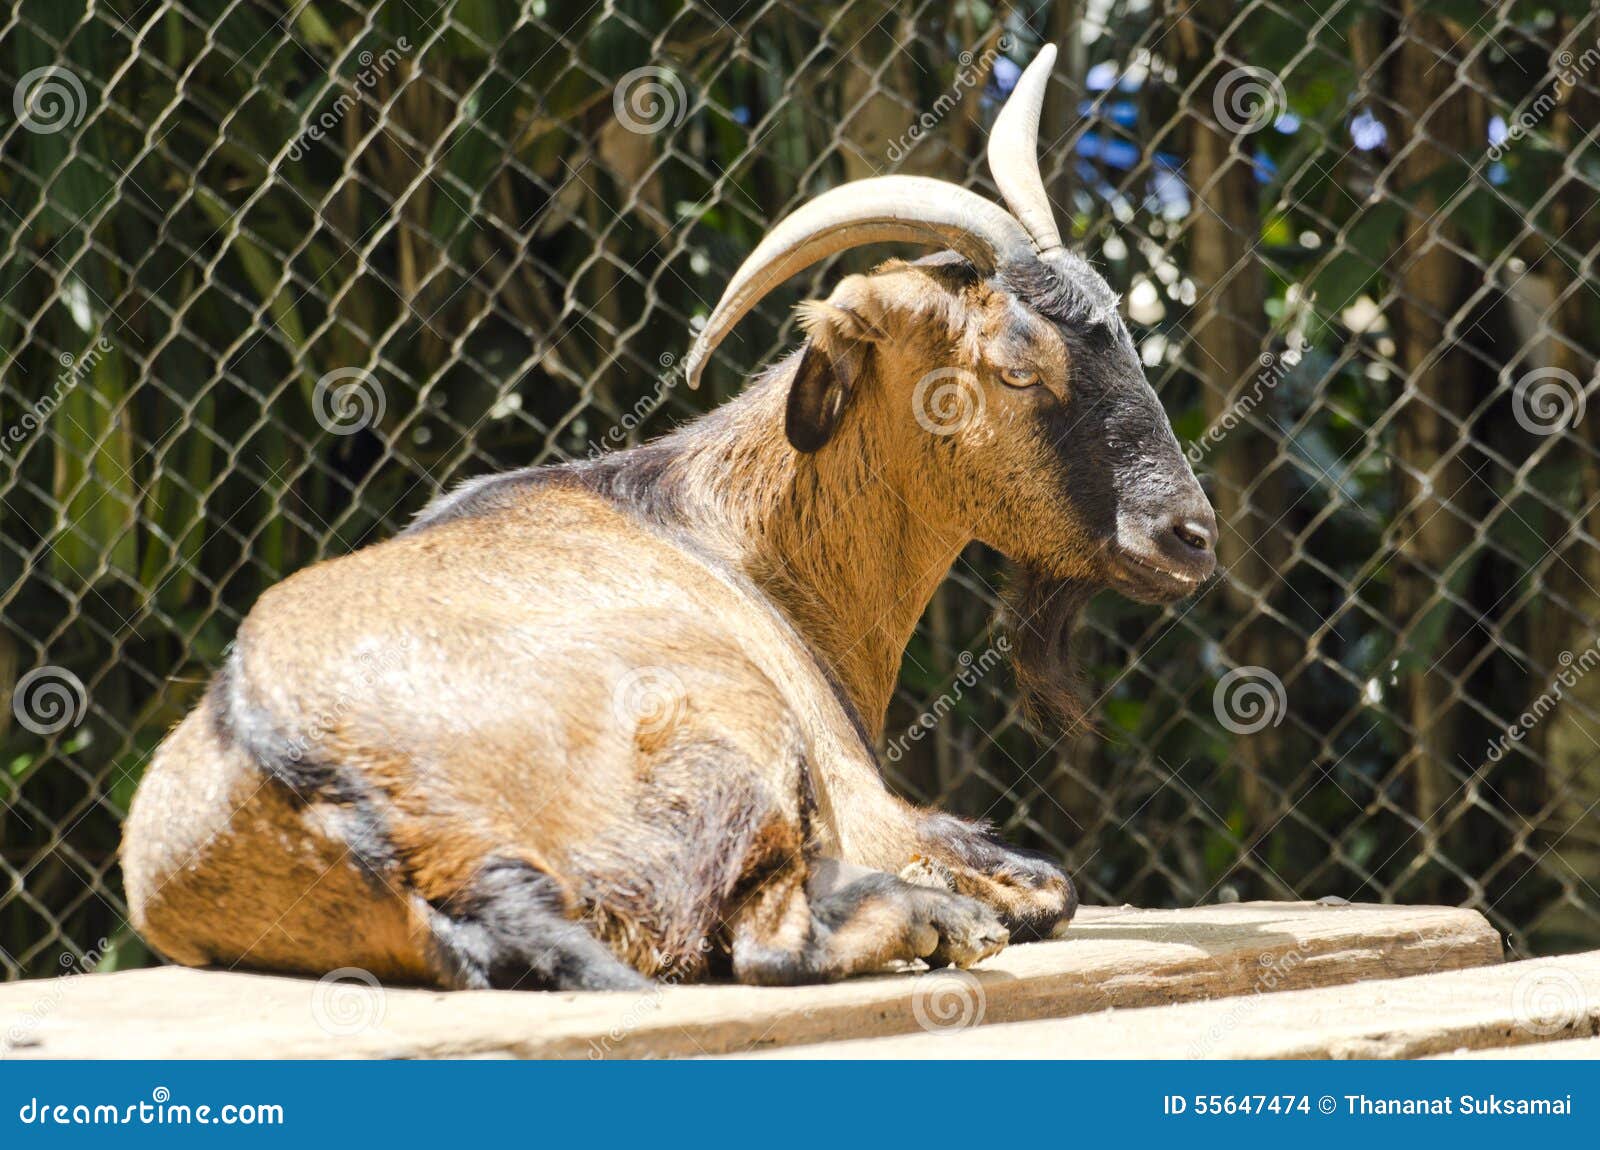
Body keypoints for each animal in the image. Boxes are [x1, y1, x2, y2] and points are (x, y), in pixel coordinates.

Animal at [121, 45, 1217, 991]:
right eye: (1016, 367)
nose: (1187, 536)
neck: (724, 536)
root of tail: (294, 748)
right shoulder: (865, 798)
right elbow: (1044, 882)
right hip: (730, 729)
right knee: (768, 940)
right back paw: (941, 920)